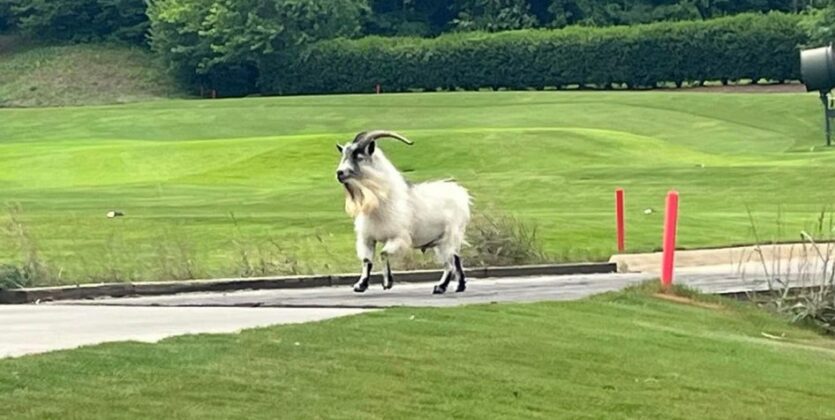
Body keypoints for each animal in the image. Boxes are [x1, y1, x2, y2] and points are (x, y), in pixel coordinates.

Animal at [335, 130, 471, 294]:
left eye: (359, 157)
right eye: (344, 155)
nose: (339, 173)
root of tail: (461, 195)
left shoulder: (398, 237)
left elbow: (383, 253)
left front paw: (387, 282)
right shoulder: (367, 238)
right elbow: (366, 260)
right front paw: (360, 285)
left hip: (448, 237)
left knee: (449, 263)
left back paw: (440, 287)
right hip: (443, 240)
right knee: (455, 258)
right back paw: (459, 286)